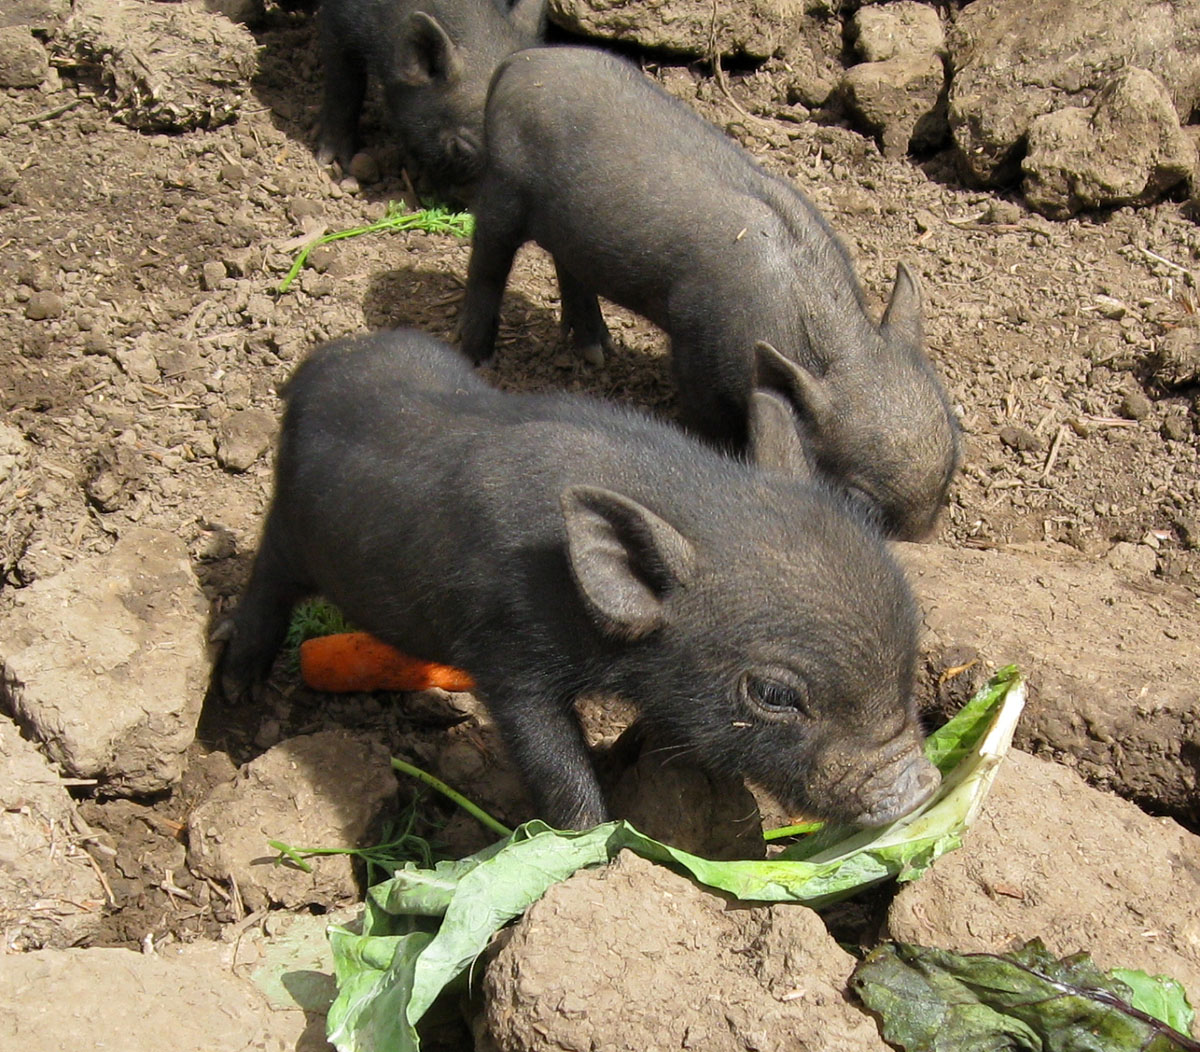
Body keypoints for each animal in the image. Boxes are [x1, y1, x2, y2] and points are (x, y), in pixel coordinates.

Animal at [213, 328, 940, 830]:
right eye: (775, 695)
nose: (918, 788)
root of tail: (316, 363)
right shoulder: (510, 652)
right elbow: (551, 759)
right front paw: (593, 841)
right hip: (287, 529)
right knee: (263, 590)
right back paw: (236, 697)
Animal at [458, 46, 960, 540]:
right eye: (861, 504)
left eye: (956, 461)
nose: (921, 541)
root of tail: (517, 62)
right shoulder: (695, 349)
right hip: (503, 190)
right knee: (487, 260)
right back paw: (478, 358)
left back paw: (598, 352)